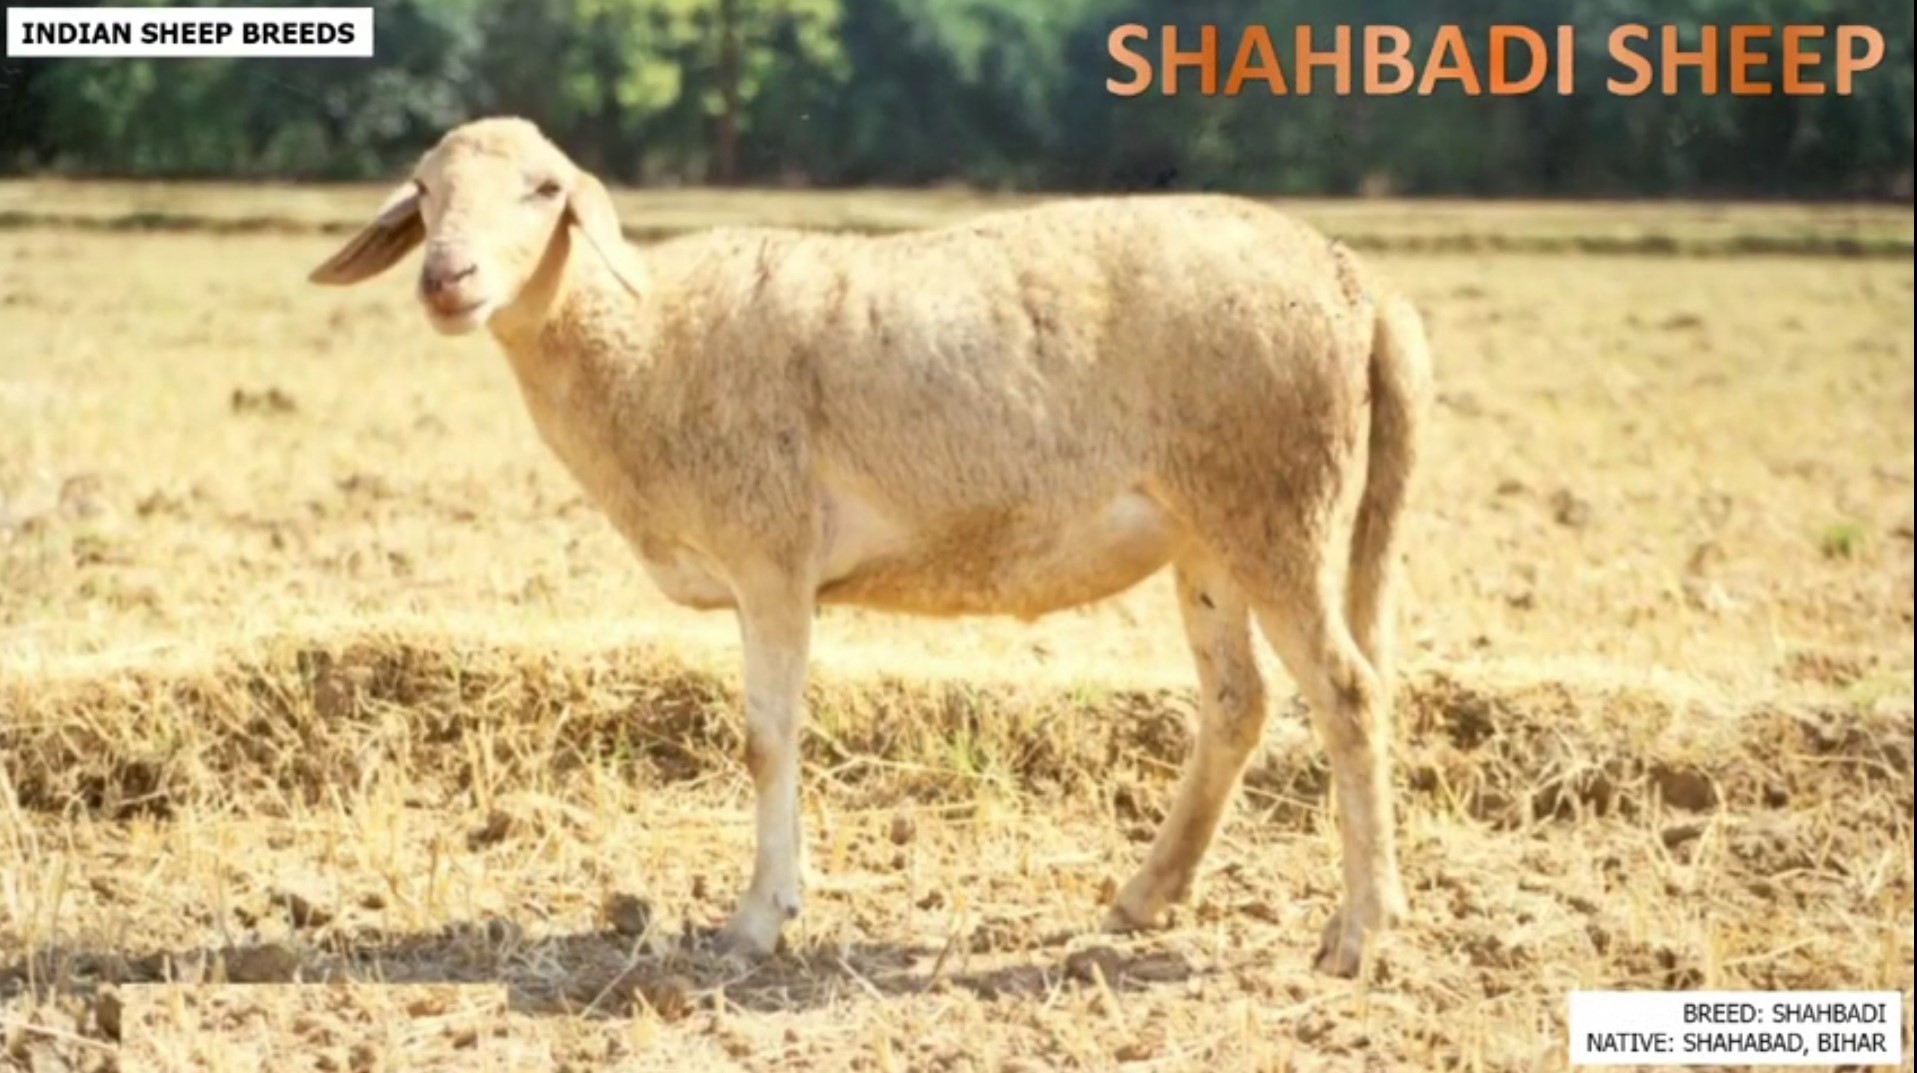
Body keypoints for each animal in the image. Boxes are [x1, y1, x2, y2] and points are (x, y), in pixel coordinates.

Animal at [308, 117, 1433, 977]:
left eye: (544, 189)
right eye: (424, 191)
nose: (447, 278)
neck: (644, 340)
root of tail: (1356, 282)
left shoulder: (769, 555)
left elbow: (767, 737)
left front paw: (757, 921)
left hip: (1278, 503)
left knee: (1348, 692)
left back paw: (1358, 933)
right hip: (1211, 526)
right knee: (1238, 699)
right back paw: (1145, 896)